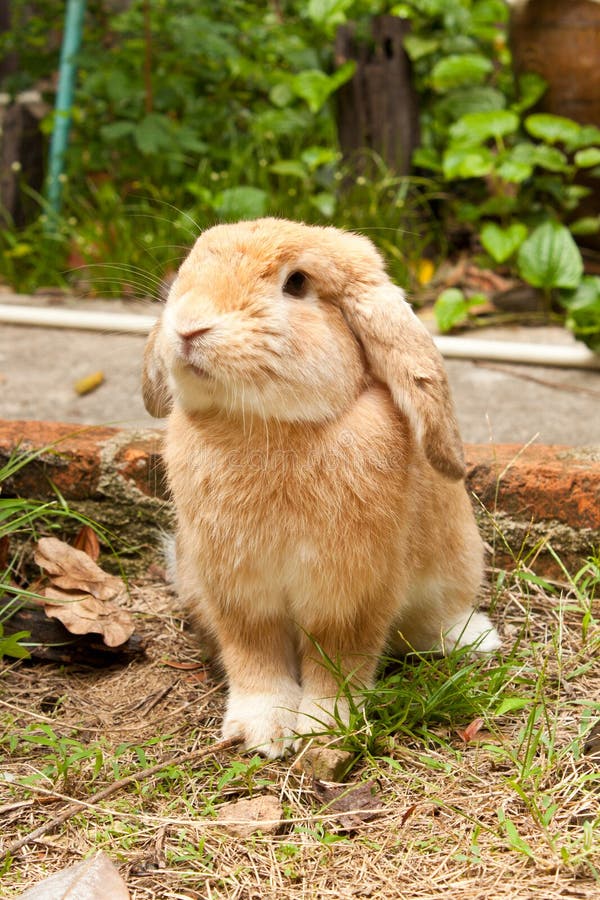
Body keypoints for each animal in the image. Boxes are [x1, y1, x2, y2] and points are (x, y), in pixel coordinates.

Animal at [142, 217, 500, 758]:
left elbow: (339, 663)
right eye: (189, 265)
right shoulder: (238, 592)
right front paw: (262, 732)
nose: (187, 326)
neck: (270, 426)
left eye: (296, 284)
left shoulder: (352, 595)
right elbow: (255, 657)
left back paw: (475, 638)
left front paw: (324, 728)